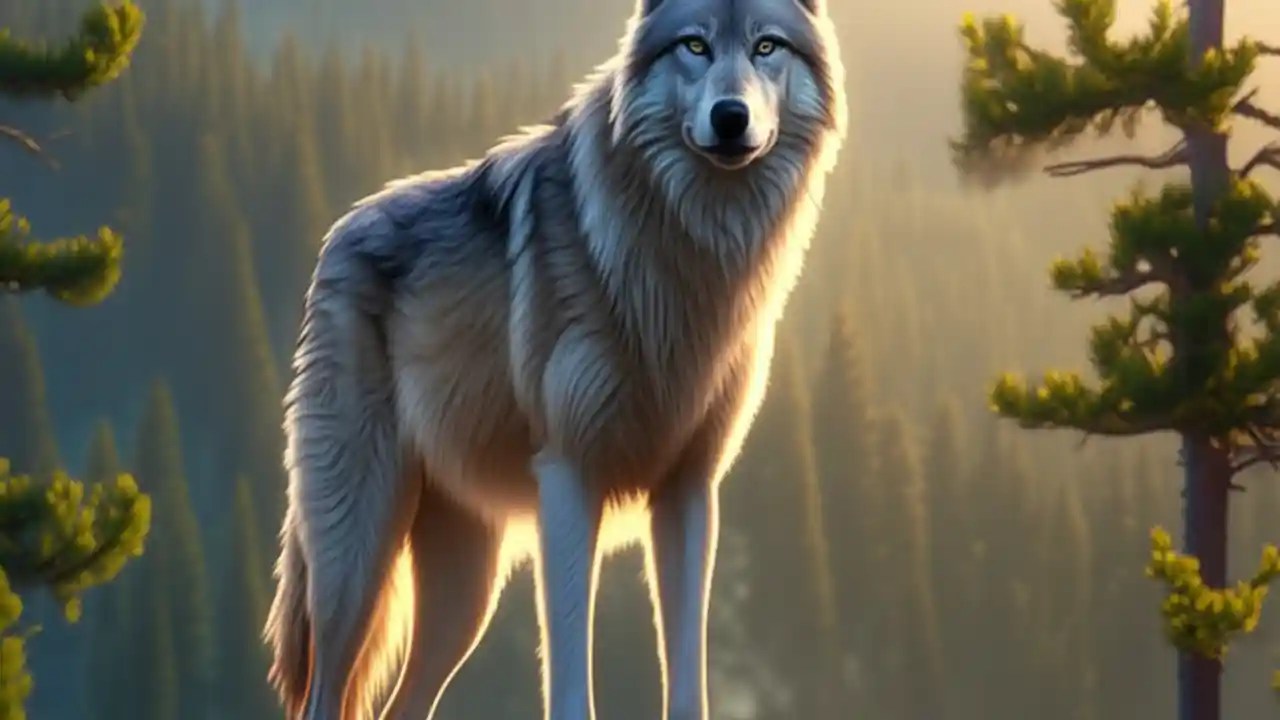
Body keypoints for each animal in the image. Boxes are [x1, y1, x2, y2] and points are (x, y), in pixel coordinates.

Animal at [263, 0, 845, 718]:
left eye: (766, 47)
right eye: (695, 46)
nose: (731, 116)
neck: (685, 256)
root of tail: (338, 234)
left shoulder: (689, 490)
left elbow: (688, 685)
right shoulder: (570, 480)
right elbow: (570, 684)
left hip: (464, 596)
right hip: (358, 553)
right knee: (325, 694)